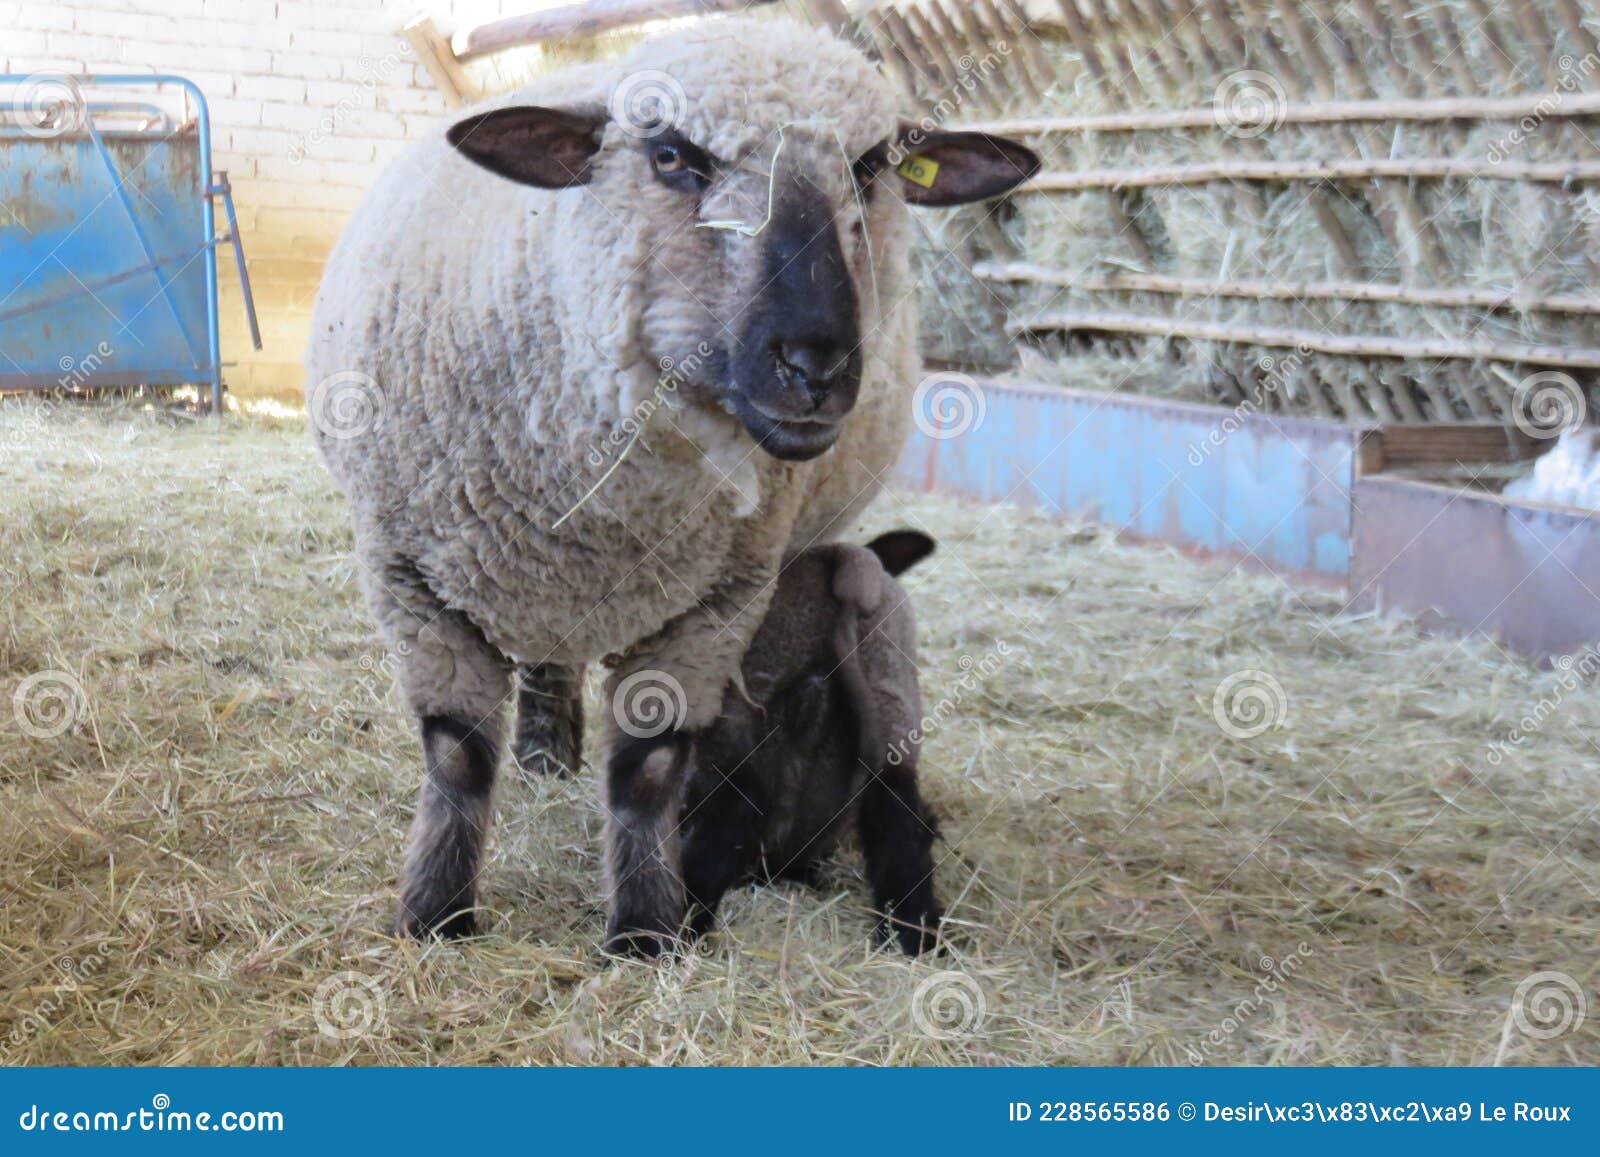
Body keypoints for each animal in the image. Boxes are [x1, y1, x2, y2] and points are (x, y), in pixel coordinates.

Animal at [665, 529, 942, 955]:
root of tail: (840, 565)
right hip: (891, 734)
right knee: (902, 842)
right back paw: (913, 940)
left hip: (737, 753)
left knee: (714, 844)